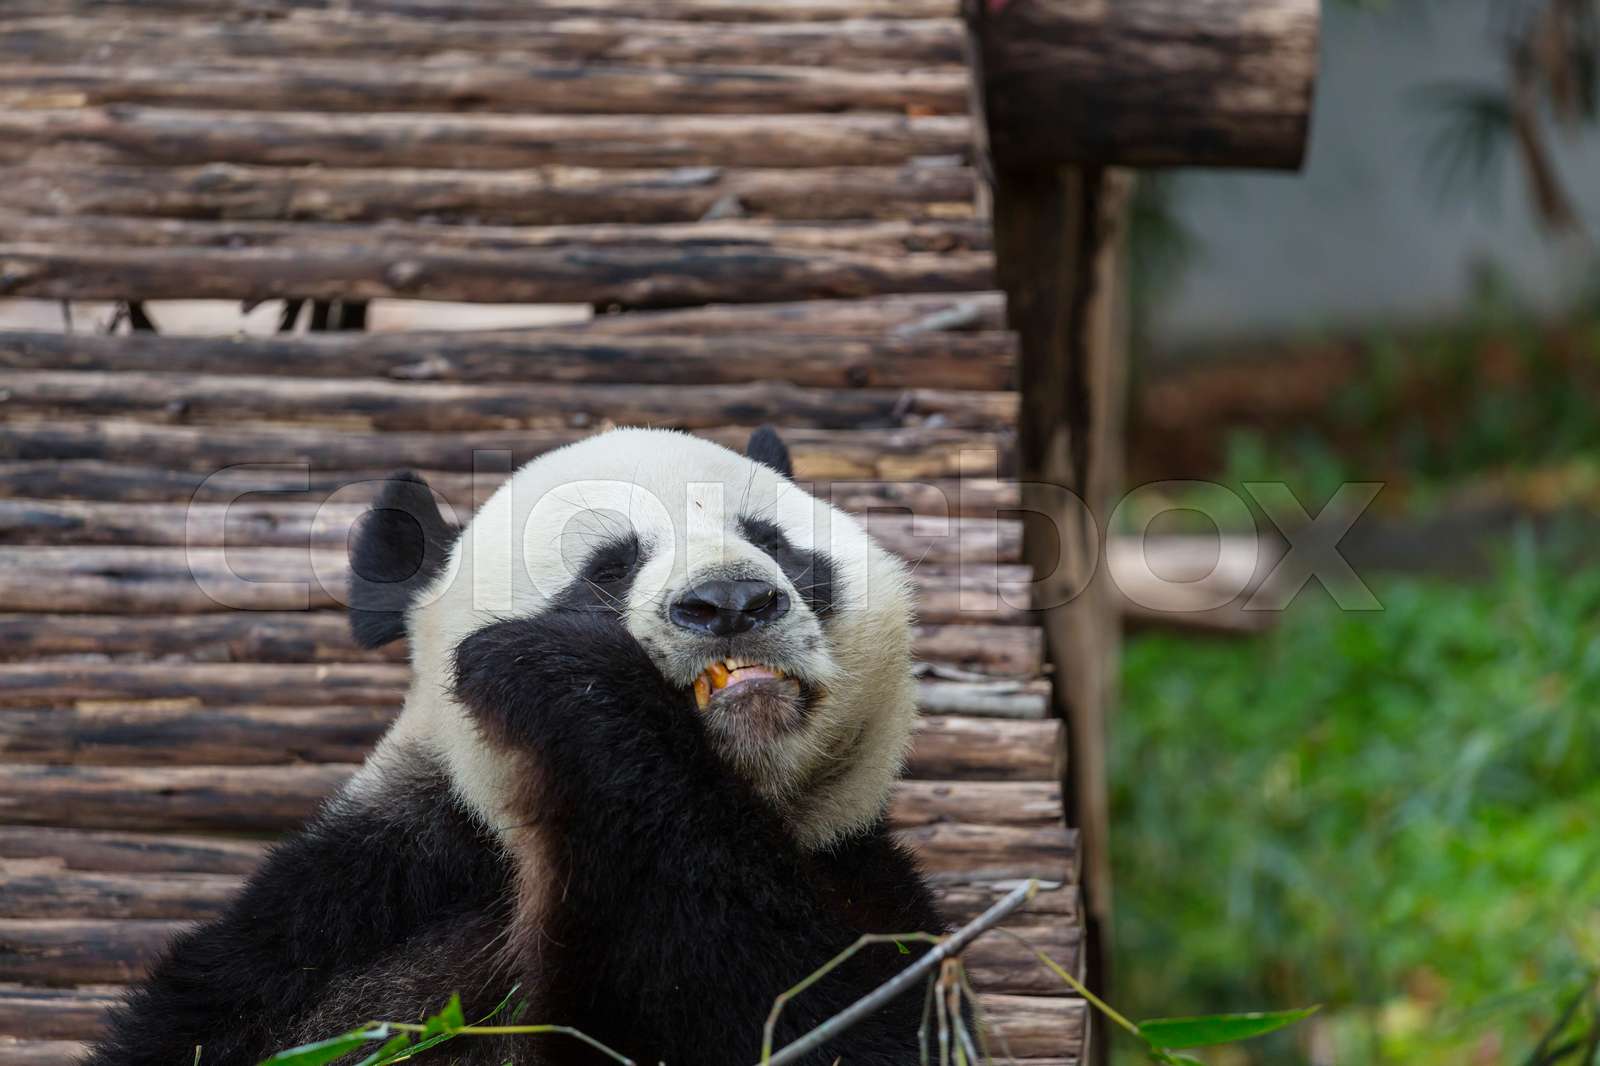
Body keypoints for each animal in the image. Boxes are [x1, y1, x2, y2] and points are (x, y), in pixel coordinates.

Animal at [85, 427, 949, 1066]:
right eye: (608, 568)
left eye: (778, 543)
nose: (733, 601)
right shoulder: (346, 918)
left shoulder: (866, 891)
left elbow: (810, 1015)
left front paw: (570, 676)